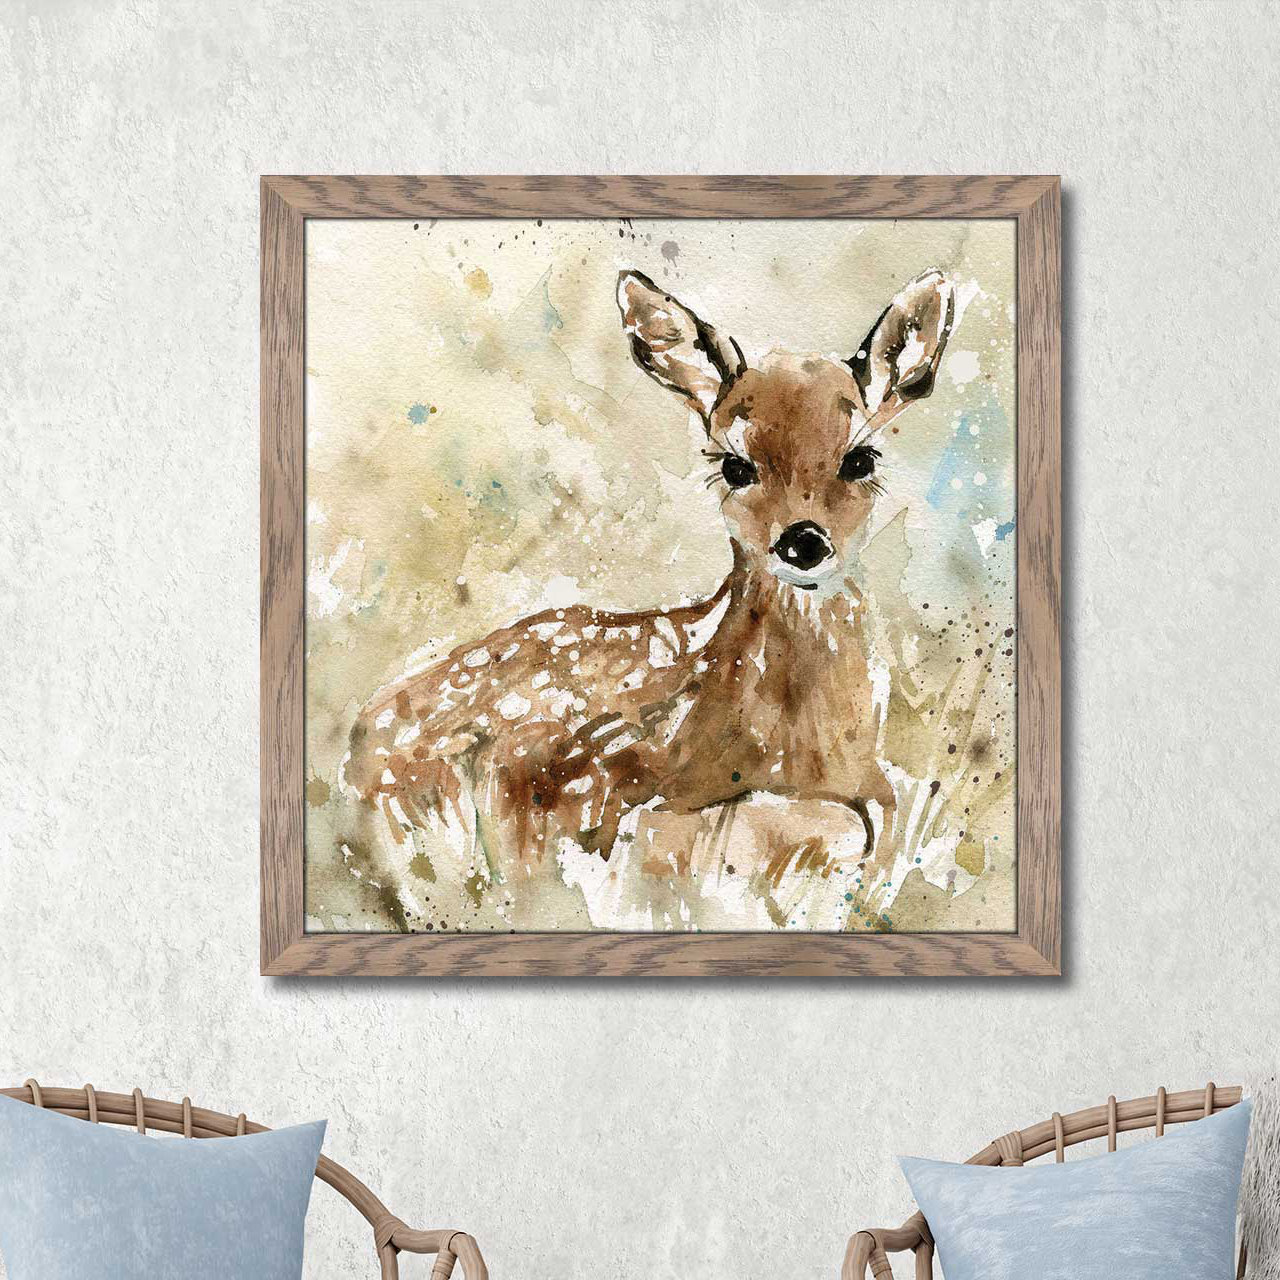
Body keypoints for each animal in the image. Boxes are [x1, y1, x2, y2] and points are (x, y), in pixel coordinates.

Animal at [341, 267, 957, 923]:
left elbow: (870, 825)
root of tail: (356, 745)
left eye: (861, 458)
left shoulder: (877, 794)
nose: (803, 541)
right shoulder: (604, 796)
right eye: (736, 466)